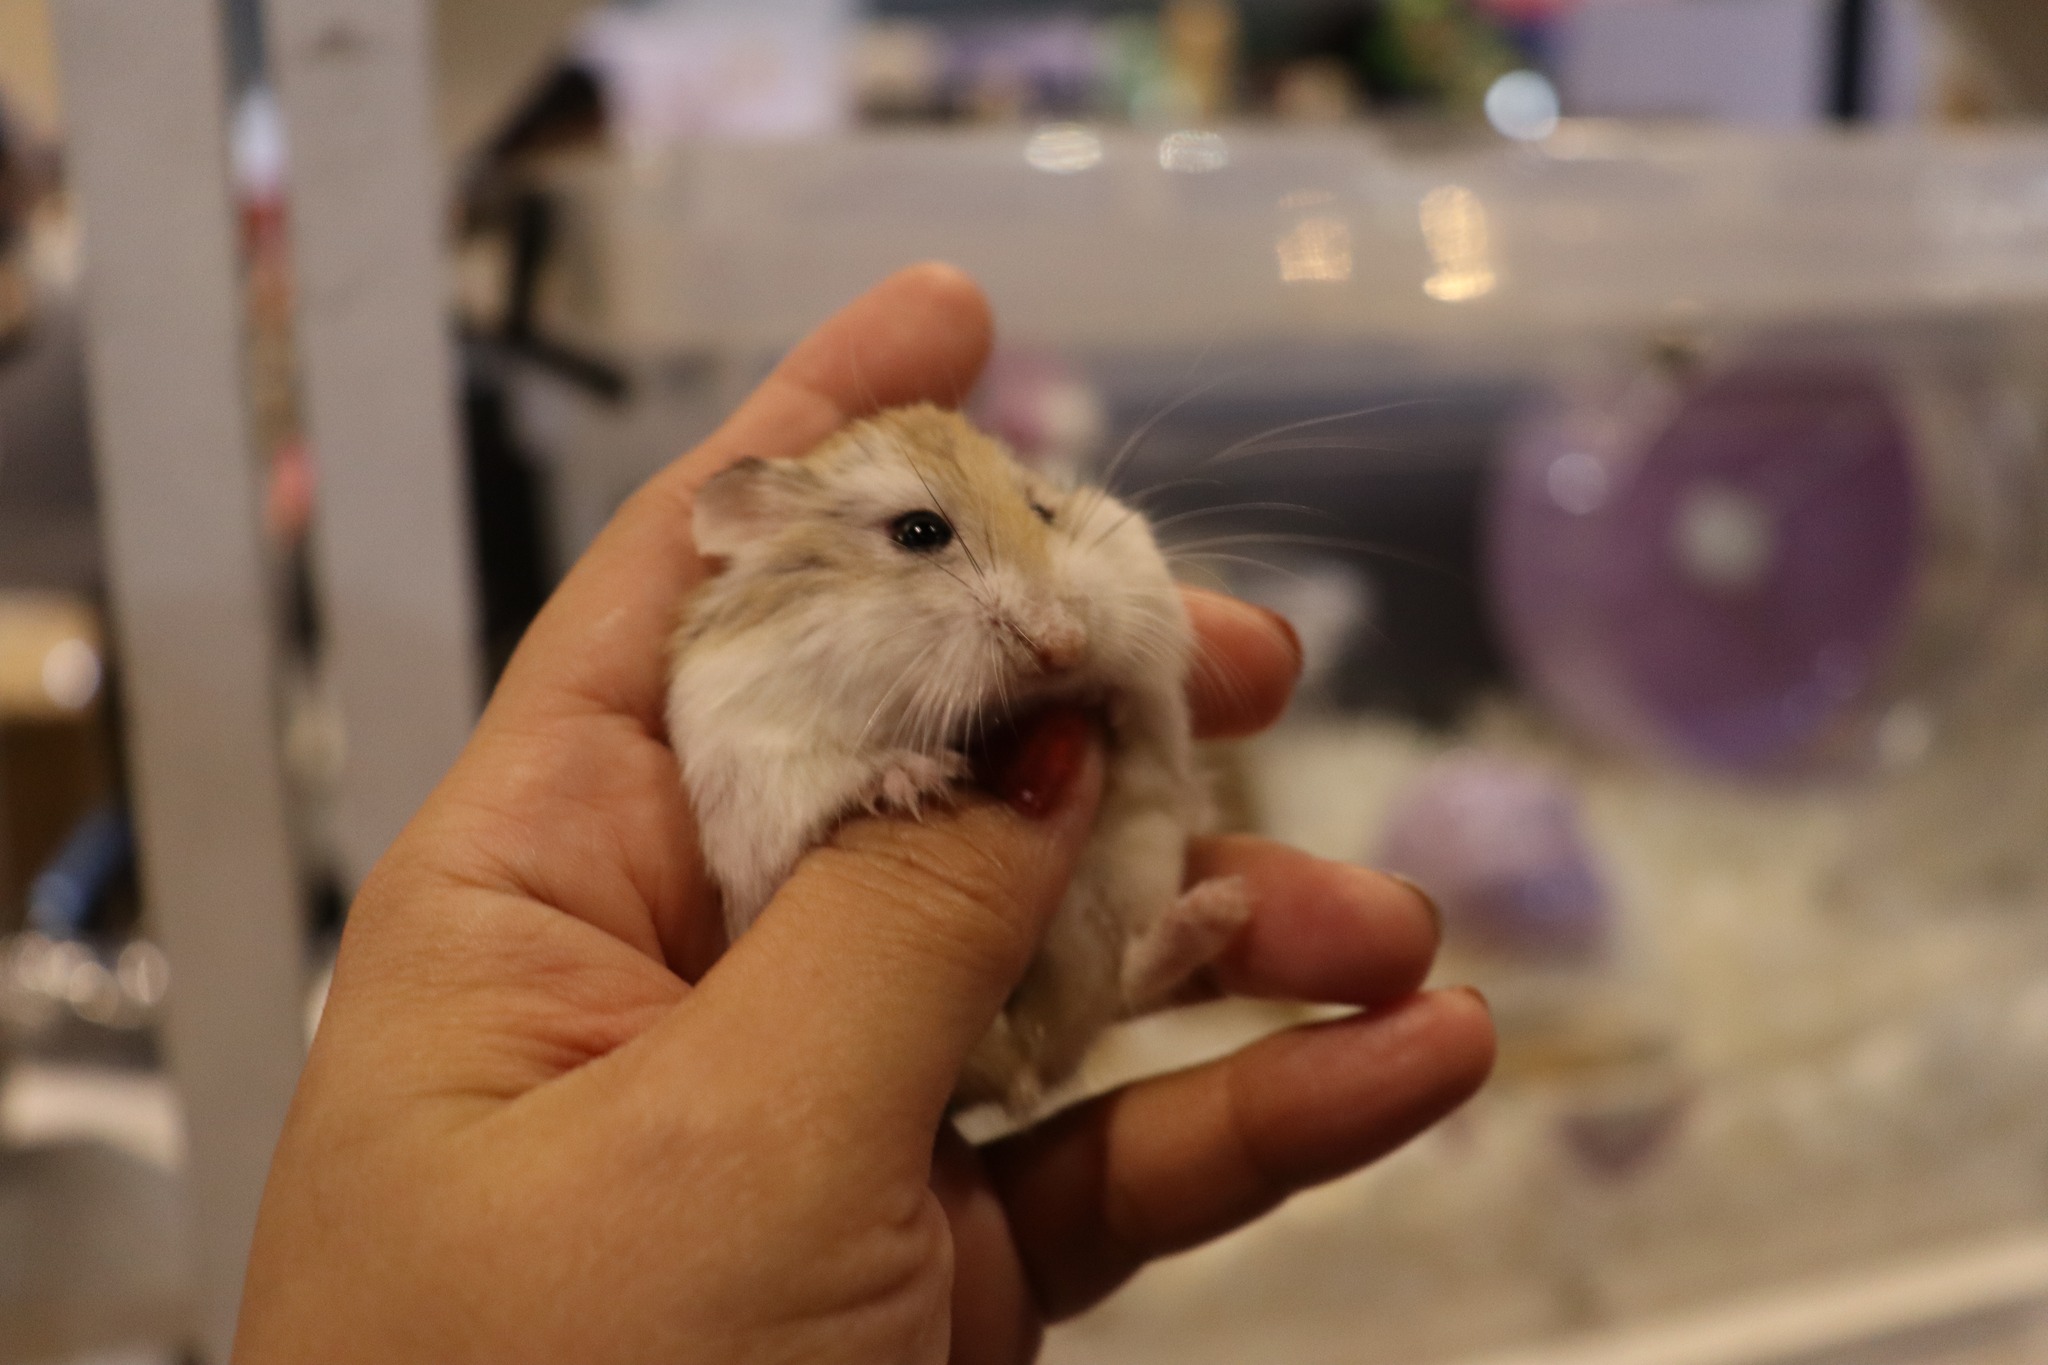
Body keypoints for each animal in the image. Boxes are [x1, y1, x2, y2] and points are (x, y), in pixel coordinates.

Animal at [669, 404, 1249, 1112]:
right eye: (920, 532)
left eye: (1044, 511)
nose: (1064, 647)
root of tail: (1025, 1076)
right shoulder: (751, 754)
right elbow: (823, 779)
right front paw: (917, 780)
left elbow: (1152, 723)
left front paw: (1106, 706)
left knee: (1122, 984)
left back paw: (1226, 907)